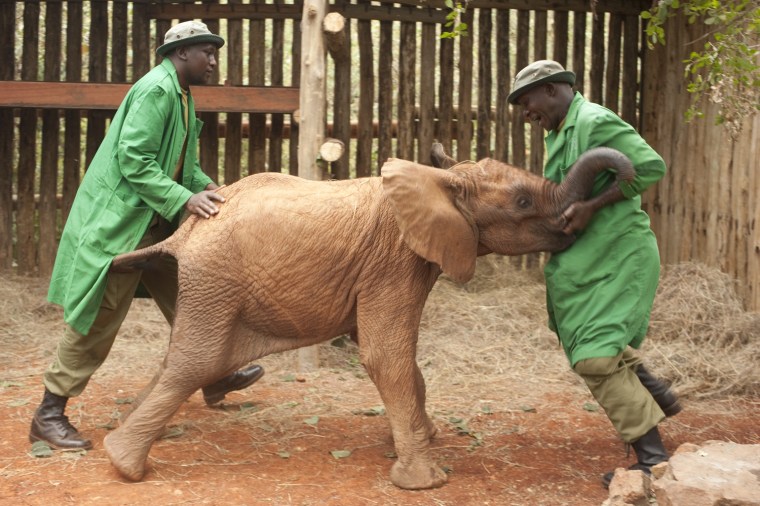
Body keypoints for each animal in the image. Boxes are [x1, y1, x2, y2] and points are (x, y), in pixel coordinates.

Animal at [102, 146, 634, 489]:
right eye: (523, 202)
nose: (622, 181)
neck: (440, 181)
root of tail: (187, 229)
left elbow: (399, 358)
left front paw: (423, 437)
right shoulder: (393, 260)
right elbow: (386, 355)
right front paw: (425, 480)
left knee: (181, 359)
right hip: (219, 282)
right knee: (197, 361)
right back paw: (125, 465)